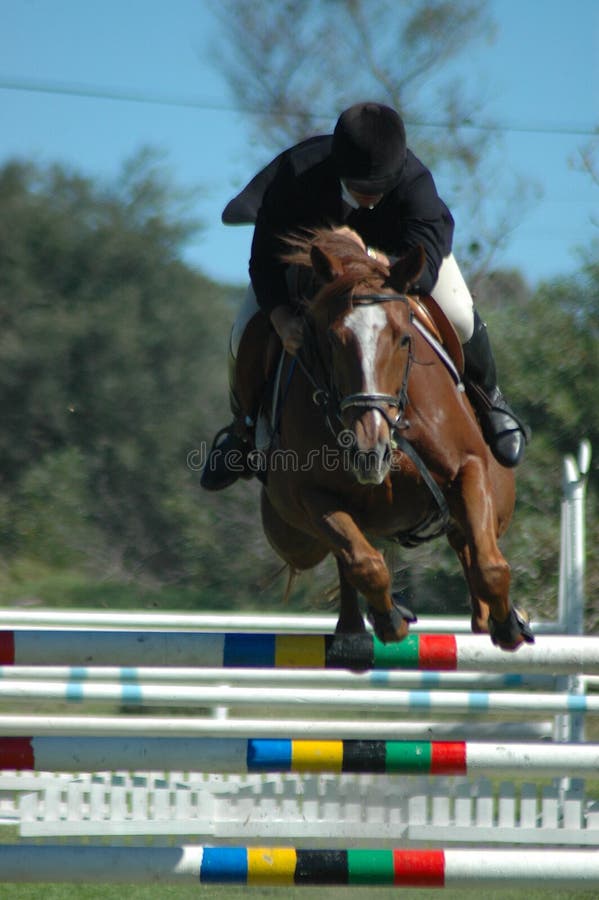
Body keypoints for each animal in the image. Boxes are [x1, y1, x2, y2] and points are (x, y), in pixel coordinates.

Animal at [236, 227, 533, 651]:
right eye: (331, 340)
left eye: (404, 338)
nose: (368, 452)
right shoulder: (312, 496)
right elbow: (364, 564)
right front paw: (390, 620)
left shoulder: (470, 467)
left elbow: (490, 565)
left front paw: (509, 624)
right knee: (351, 562)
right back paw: (357, 630)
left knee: (468, 544)